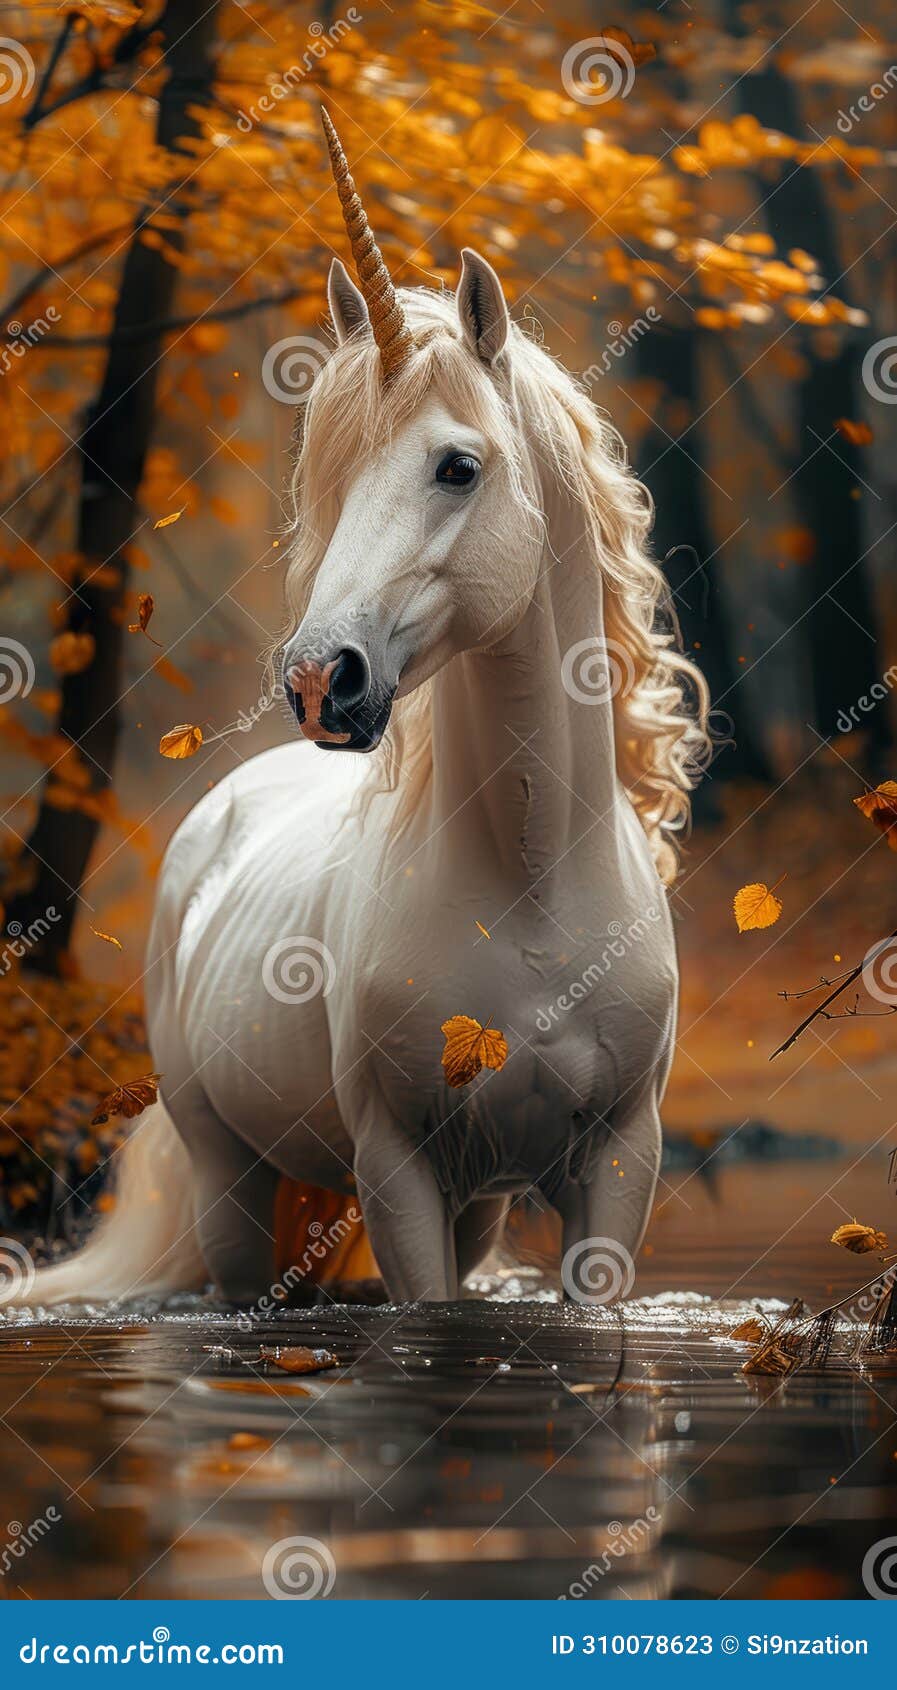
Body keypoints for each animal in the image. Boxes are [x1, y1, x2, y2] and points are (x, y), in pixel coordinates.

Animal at [22, 113, 709, 1311]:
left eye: (457, 466)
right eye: (332, 484)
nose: (318, 679)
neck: (530, 882)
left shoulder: (617, 1164)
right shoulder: (398, 1168)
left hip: (477, 1202)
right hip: (232, 1180)